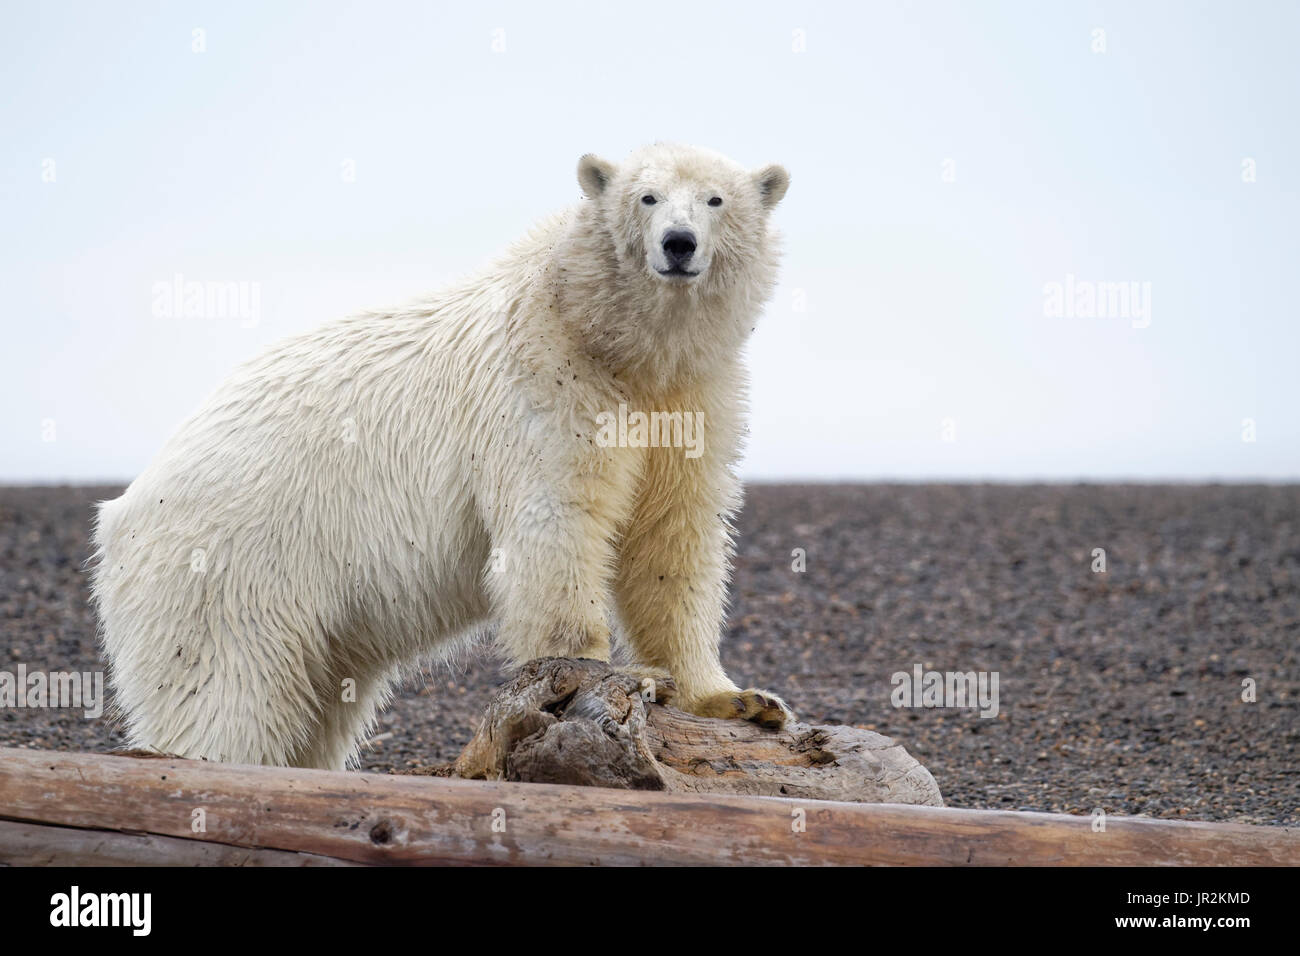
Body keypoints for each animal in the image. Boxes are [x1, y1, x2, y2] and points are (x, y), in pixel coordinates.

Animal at [89, 143, 794, 770]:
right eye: (646, 196)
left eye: (715, 199)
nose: (678, 243)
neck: (608, 338)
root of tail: (123, 511)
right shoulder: (541, 382)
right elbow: (556, 526)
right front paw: (606, 672)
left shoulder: (688, 402)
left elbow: (672, 540)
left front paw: (739, 698)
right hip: (229, 568)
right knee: (227, 693)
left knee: (320, 704)